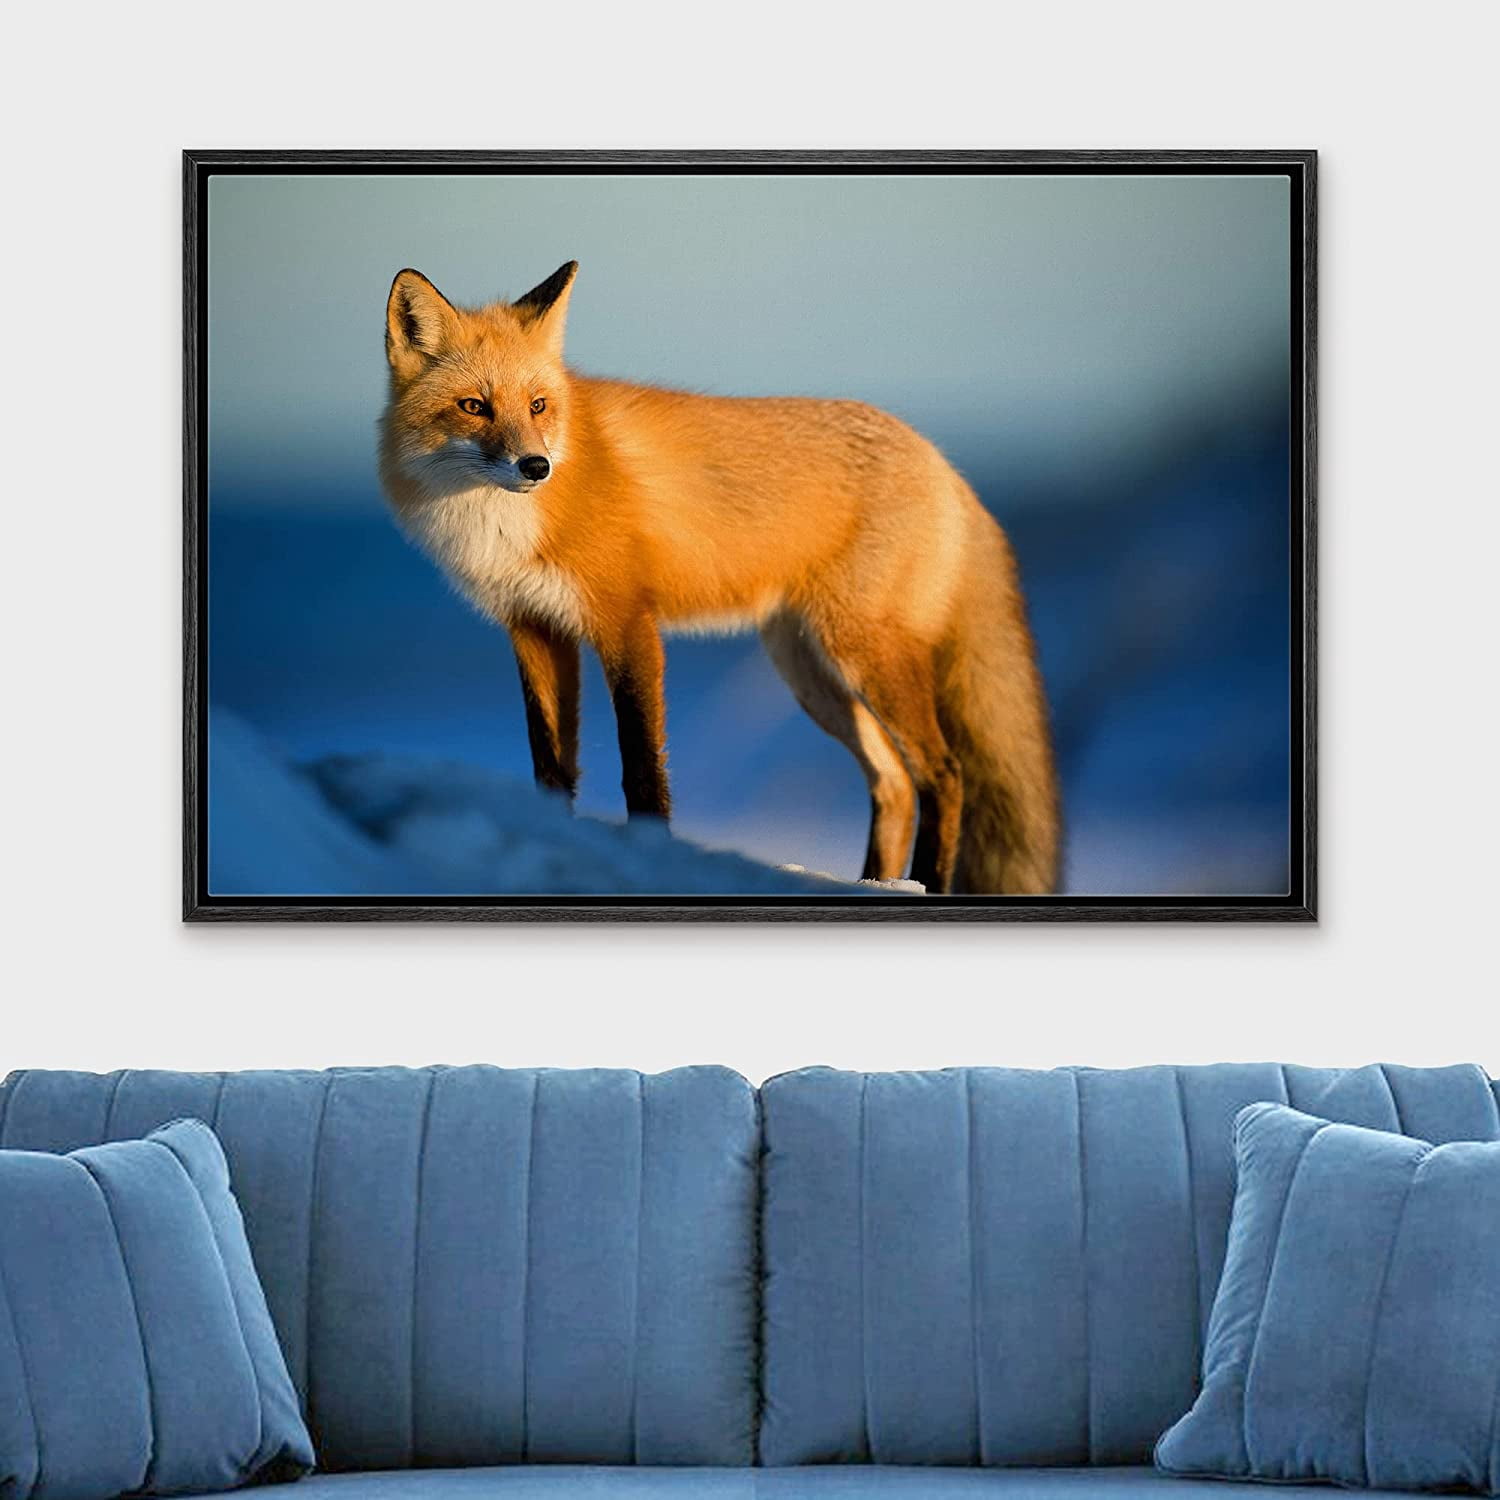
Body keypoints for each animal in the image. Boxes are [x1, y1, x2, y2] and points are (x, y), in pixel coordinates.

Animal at [377, 262, 1060, 894]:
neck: (504, 526)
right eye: (474, 406)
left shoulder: (627, 622)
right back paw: (875, 883)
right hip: (810, 673)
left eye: (538, 406)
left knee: (943, 773)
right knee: (893, 782)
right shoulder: (534, 628)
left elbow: (642, 766)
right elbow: (551, 766)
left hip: (864, 654)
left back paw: (926, 883)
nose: (536, 466)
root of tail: (943, 462)